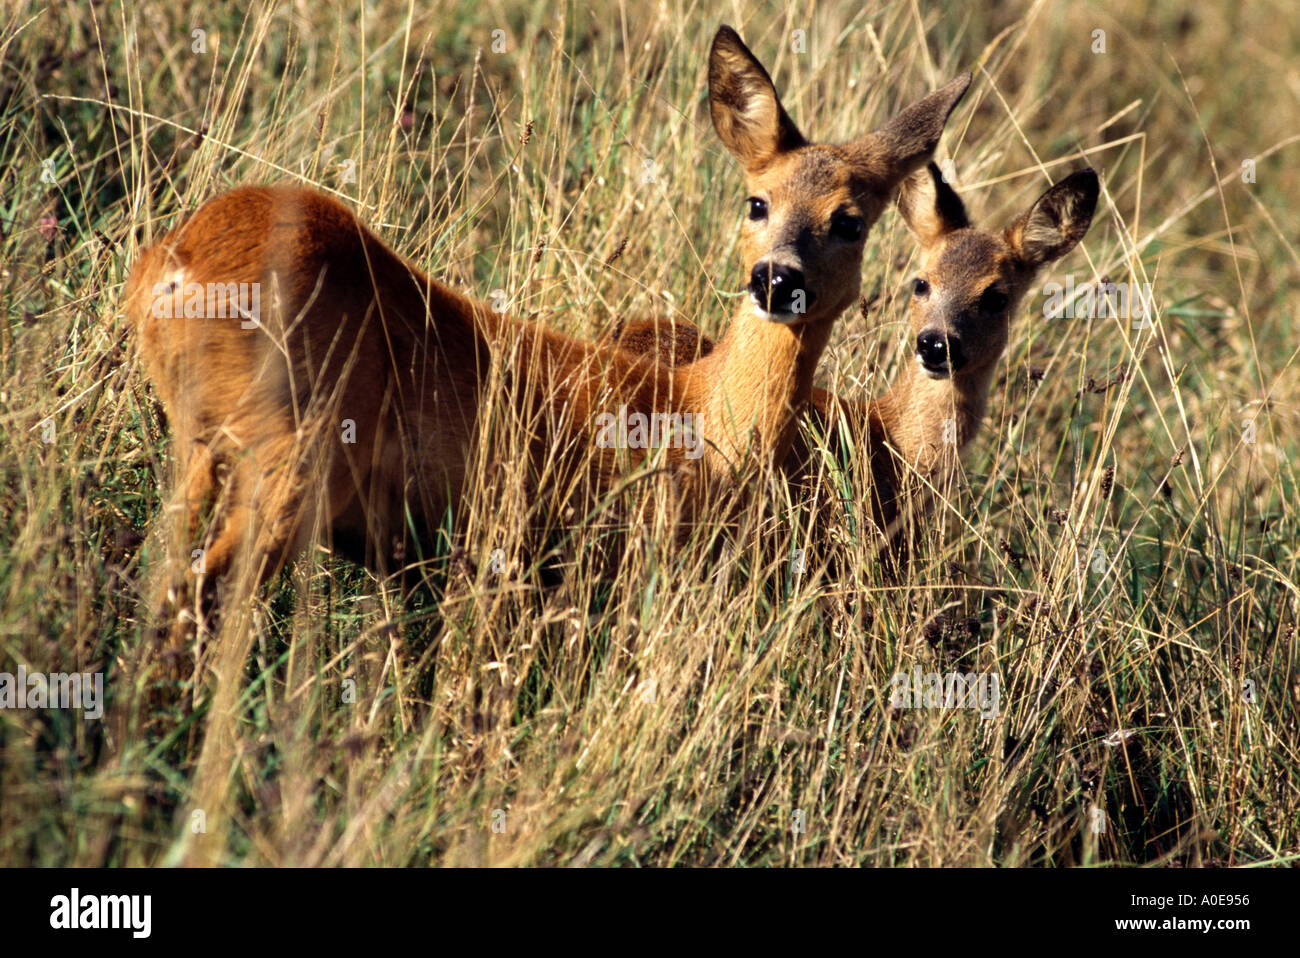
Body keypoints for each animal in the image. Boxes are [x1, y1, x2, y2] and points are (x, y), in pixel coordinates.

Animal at [123, 25, 970, 653]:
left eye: (849, 221)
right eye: (757, 201)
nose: (776, 278)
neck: (701, 416)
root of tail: (170, 263)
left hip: (202, 447)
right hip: (287, 457)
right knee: (191, 609)